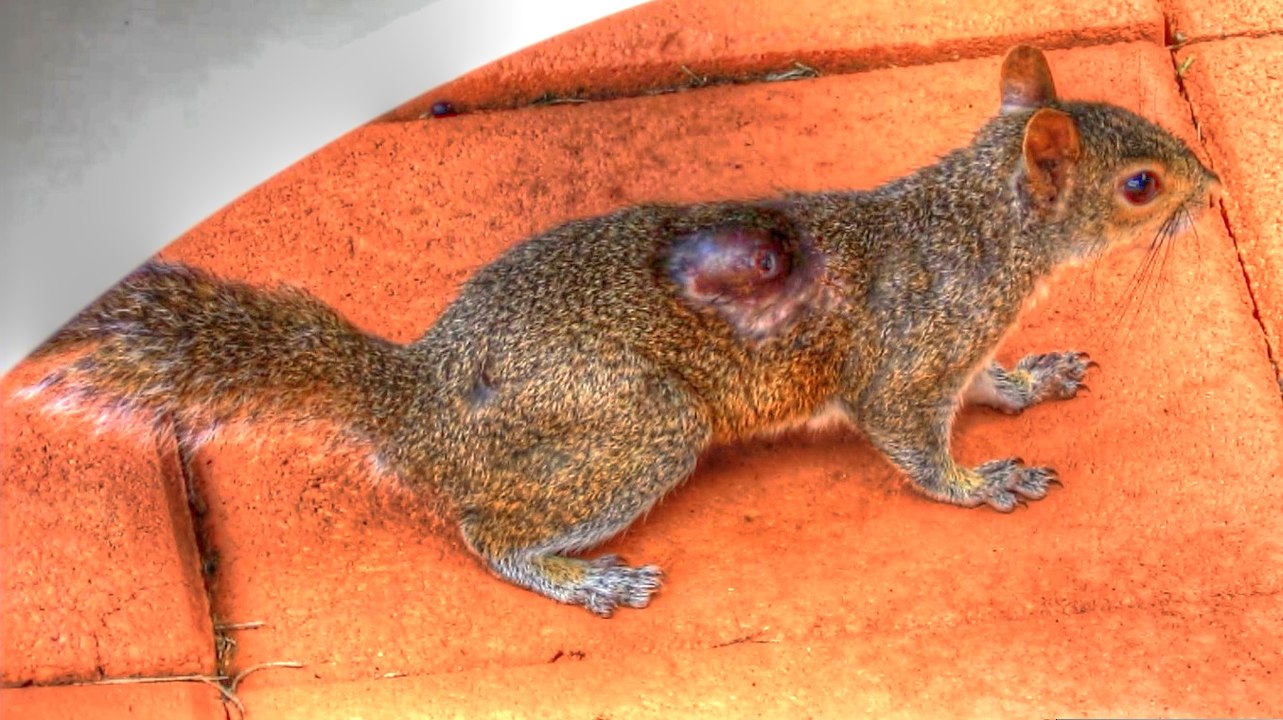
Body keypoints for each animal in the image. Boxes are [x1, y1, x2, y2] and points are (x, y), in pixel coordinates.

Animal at [17, 46, 1220, 616]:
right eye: (1139, 183)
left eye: (1144, 131)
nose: (1212, 185)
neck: (978, 229)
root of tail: (412, 404)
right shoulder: (906, 355)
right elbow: (914, 446)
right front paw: (982, 484)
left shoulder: (955, 351)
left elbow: (987, 384)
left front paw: (1031, 379)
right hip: (633, 429)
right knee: (487, 535)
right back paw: (580, 580)